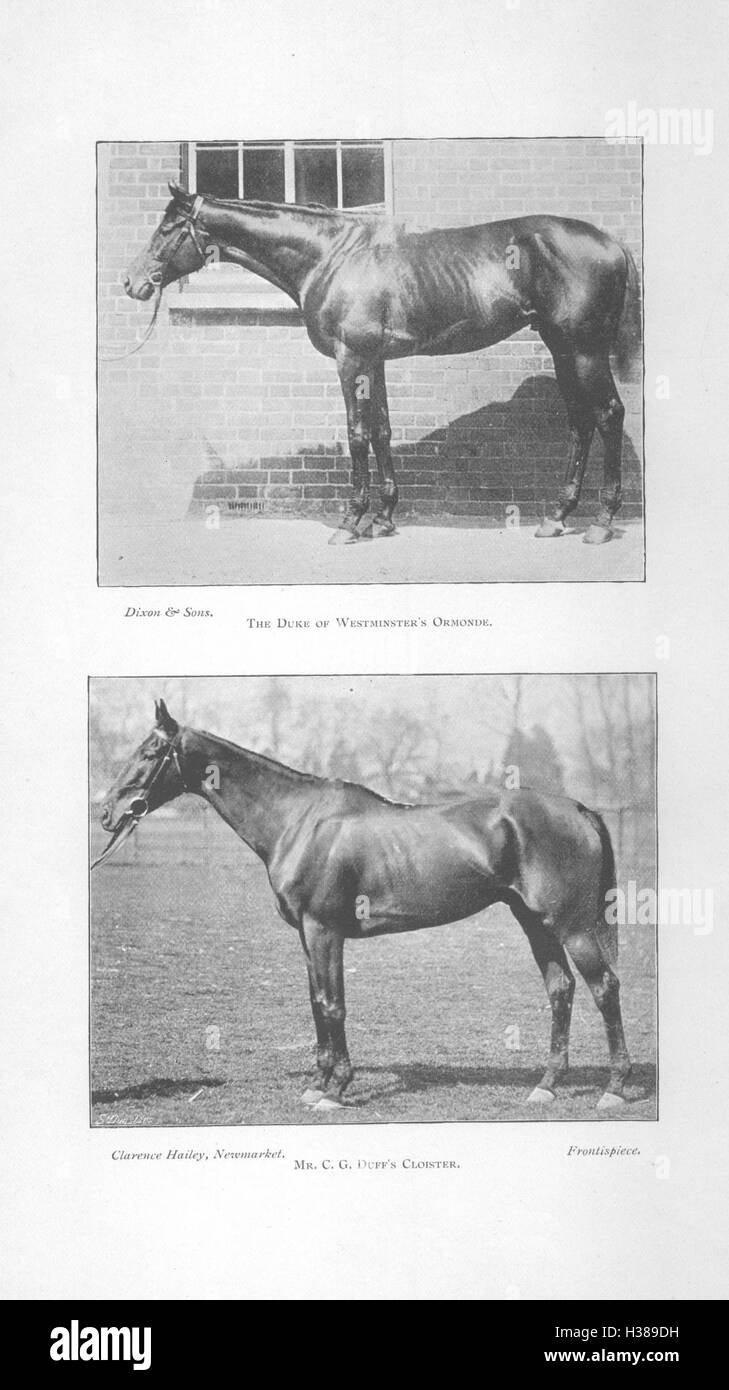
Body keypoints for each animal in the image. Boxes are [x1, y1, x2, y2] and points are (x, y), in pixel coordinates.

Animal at [93, 699, 632, 1113]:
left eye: (150, 751)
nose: (108, 812)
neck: (298, 820)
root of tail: (579, 809)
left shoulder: (324, 929)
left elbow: (334, 1005)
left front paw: (336, 1091)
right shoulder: (307, 935)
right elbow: (317, 1002)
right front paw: (316, 1085)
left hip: (571, 926)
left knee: (604, 987)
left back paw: (613, 1089)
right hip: (535, 923)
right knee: (561, 990)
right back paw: (546, 1087)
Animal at [121, 182, 641, 546]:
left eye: (166, 228)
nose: (131, 282)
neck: (331, 254)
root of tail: (613, 243)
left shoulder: (351, 359)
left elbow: (357, 435)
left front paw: (351, 522)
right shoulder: (377, 361)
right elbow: (382, 431)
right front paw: (384, 519)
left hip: (584, 349)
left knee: (608, 415)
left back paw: (601, 522)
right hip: (561, 348)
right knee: (580, 421)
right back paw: (556, 517)